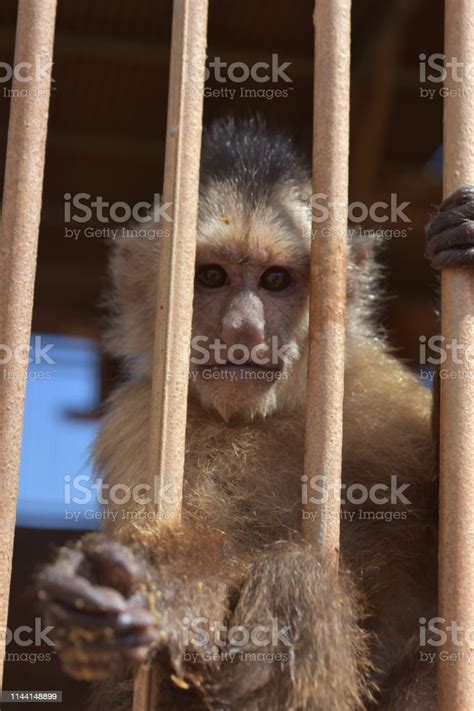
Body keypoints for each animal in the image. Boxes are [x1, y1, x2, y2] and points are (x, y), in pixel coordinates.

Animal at [36, 117, 474, 710]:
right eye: (211, 277)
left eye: (275, 281)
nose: (244, 328)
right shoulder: (139, 419)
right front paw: (137, 588)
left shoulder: (371, 387)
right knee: (298, 575)